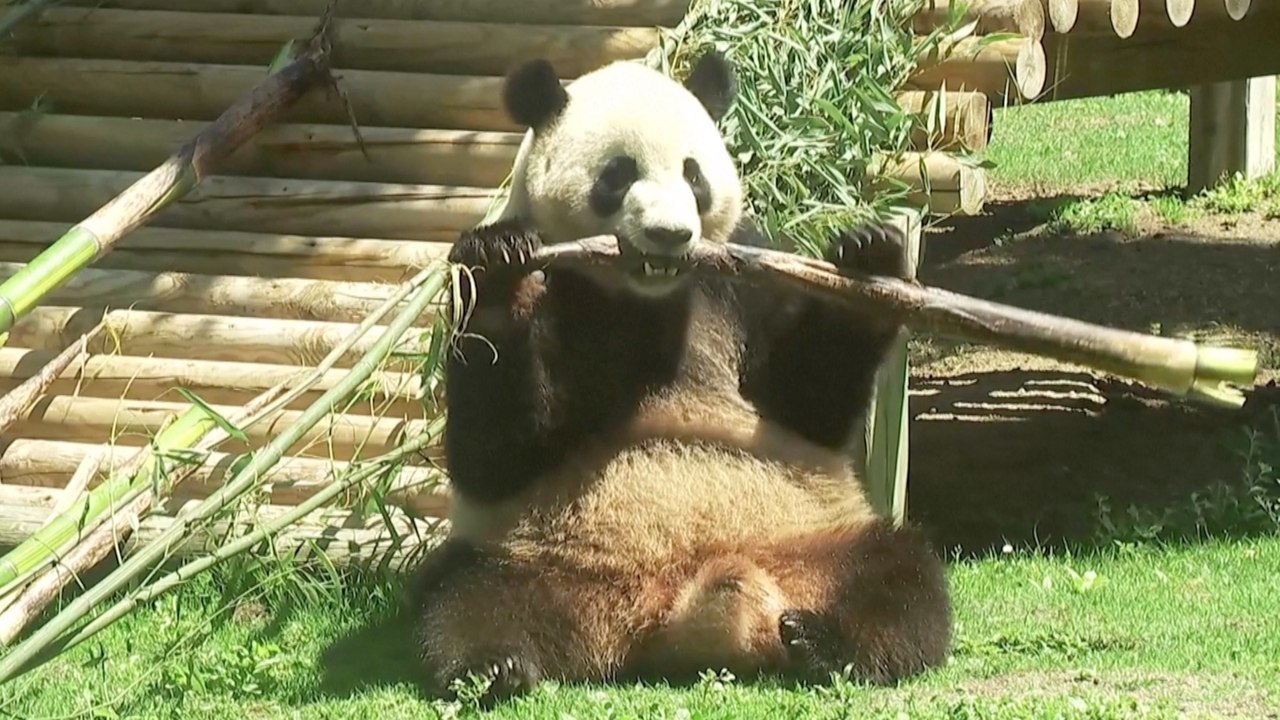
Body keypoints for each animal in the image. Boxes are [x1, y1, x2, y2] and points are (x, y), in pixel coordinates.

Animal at [409, 51, 951, 704]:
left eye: (694, 175)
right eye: (617, 175)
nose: (670, 236)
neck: (647, 297)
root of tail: (683, 605)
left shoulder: (741, 278)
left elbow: (806, 406)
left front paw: (868, 257)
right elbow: (491, 457)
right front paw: (498, 266)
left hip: (820, 541)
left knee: (904, 577)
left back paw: (826, 642)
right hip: (532, 553)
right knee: (462, 598)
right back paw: (494, 665)